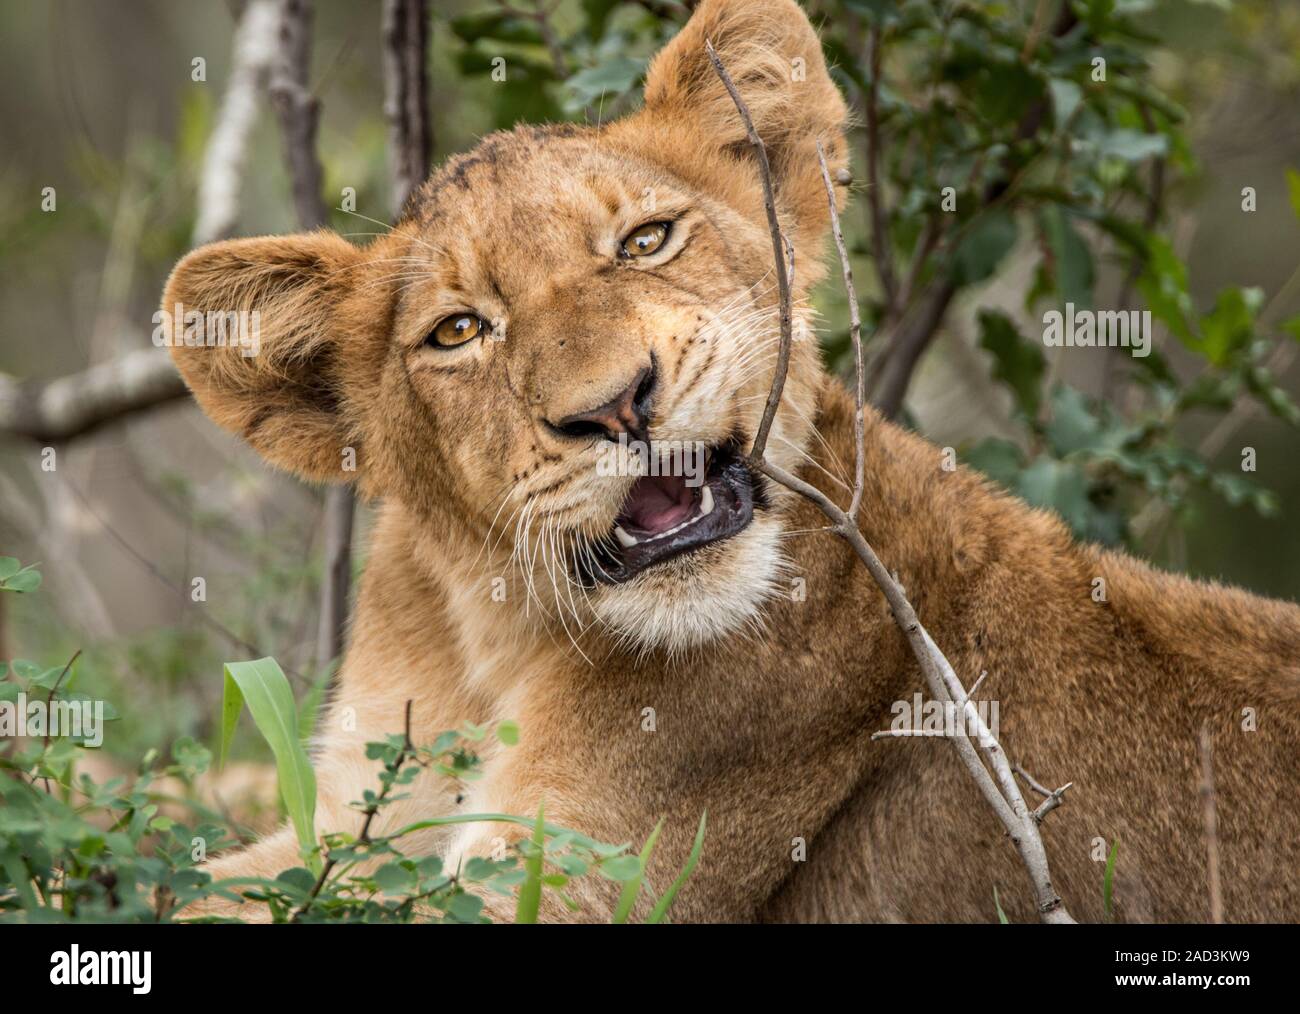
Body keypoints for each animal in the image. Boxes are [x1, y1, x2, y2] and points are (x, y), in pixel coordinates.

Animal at [161, 0, 1300, 922]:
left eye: (647, 240)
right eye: (457, 332)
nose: (614, 404)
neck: (495, 636)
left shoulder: (576, 876)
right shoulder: (348, 810)